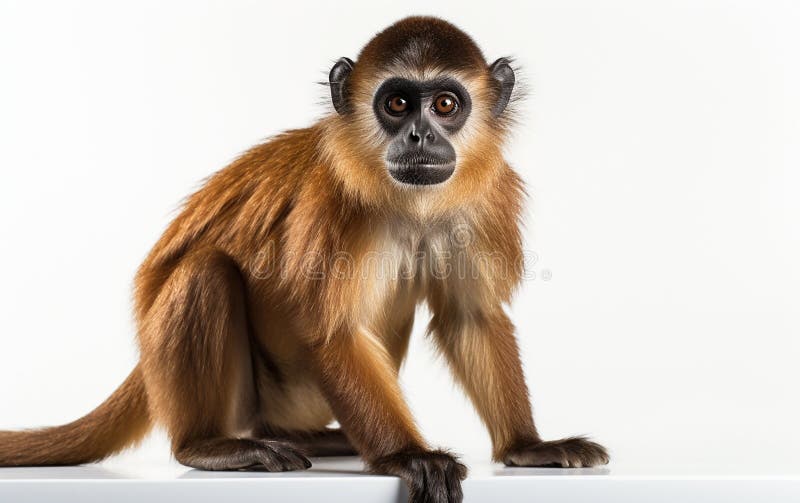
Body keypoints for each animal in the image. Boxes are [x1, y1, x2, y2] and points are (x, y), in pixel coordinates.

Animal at [0, 16, 608, 503]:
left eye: (445, 104)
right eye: (396, 104)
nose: (417, 136)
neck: (409, 203)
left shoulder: (484, 200)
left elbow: (471, 317)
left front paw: (527, 446)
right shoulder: (331, 199)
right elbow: (332, 330)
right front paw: (408, 457)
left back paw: (315, 438)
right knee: (206, 273)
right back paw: (208, 446)